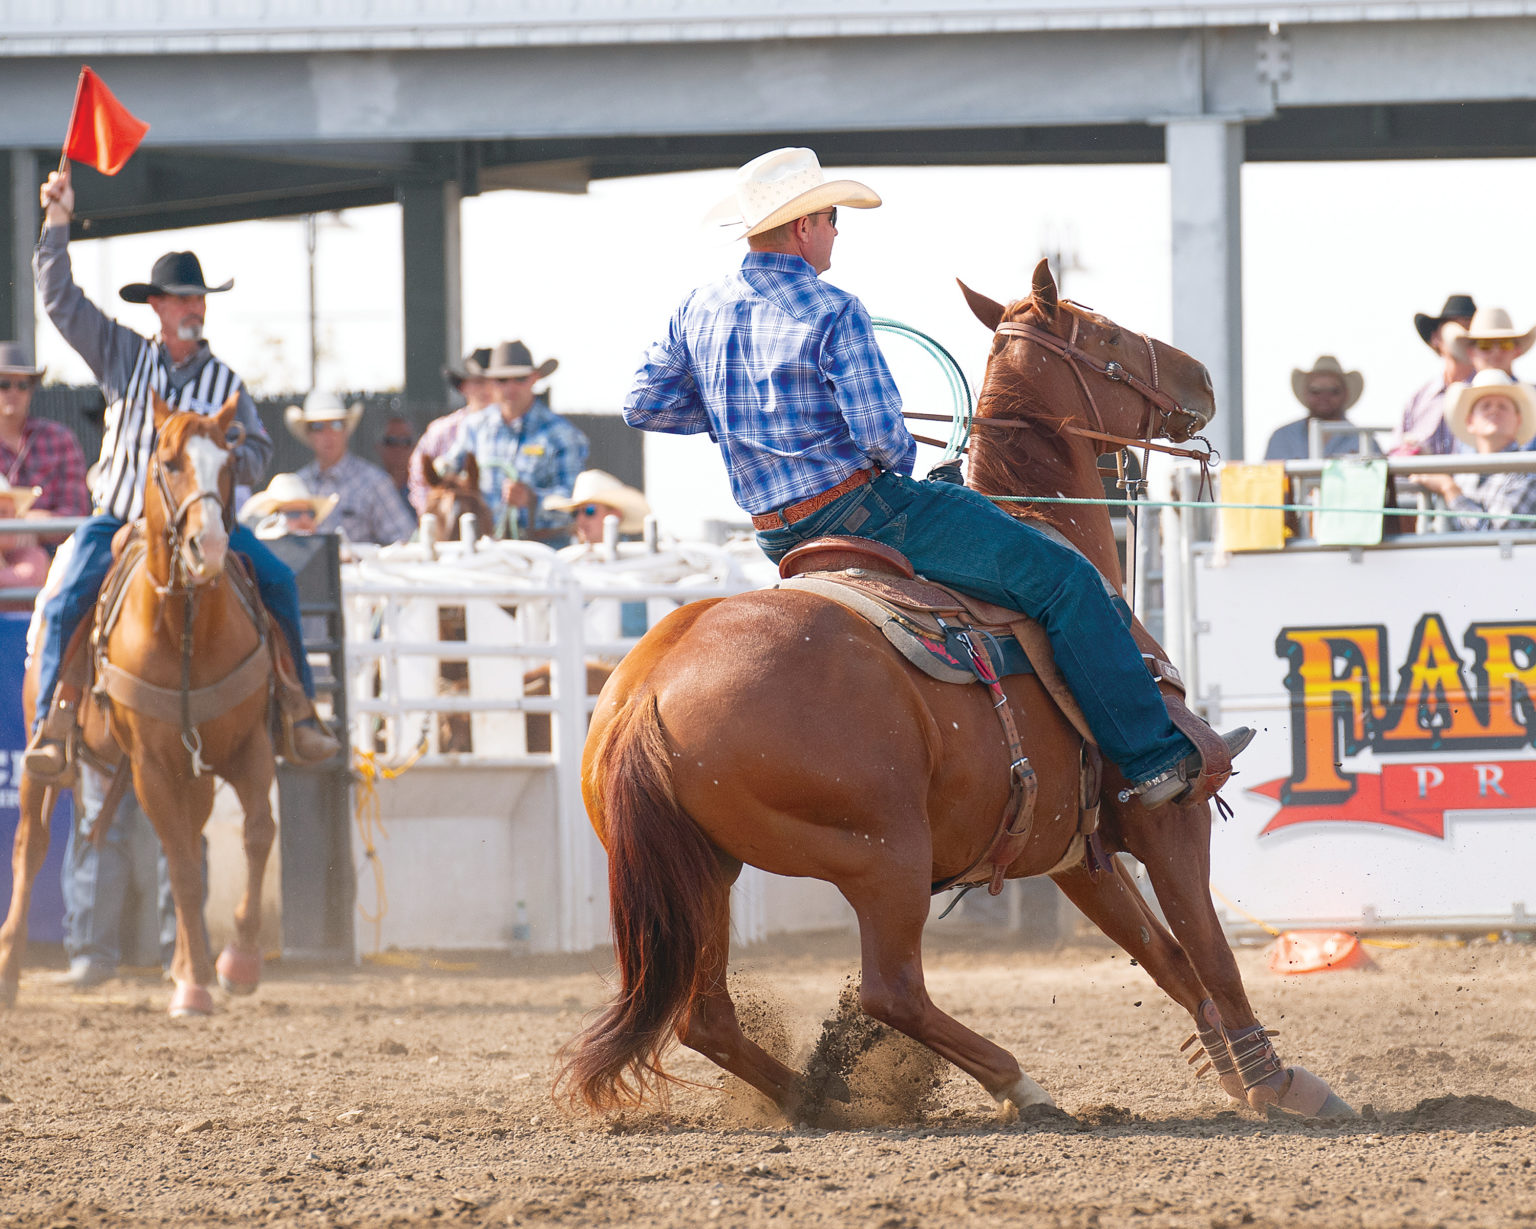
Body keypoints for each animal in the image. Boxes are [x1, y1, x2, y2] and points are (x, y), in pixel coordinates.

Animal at [0, 392, 278, 1016]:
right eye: (169, 464)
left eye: (230, 463)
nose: (209, 547)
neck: (186, 628)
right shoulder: (151, 766)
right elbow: (182, 866)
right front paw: (196, 986)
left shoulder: (248, 747)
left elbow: (255, 835)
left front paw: (238, 964)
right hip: (41, 759)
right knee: (30, 847)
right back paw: (8, 972)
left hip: (195, 774)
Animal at [560, 259, 1351, 1122]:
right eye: (1106, 337)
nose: (1201, 377)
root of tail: (645, 699)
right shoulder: (1167, 815)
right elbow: (1209, 947)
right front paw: (1277, 1081)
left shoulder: (1075, 849)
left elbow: (1169, 958)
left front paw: (1237, 1073)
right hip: (884, 855)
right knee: (891, 991)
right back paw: (1016, 1083)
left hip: (706, 869)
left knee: (706, 1015)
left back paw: (818, 1097)